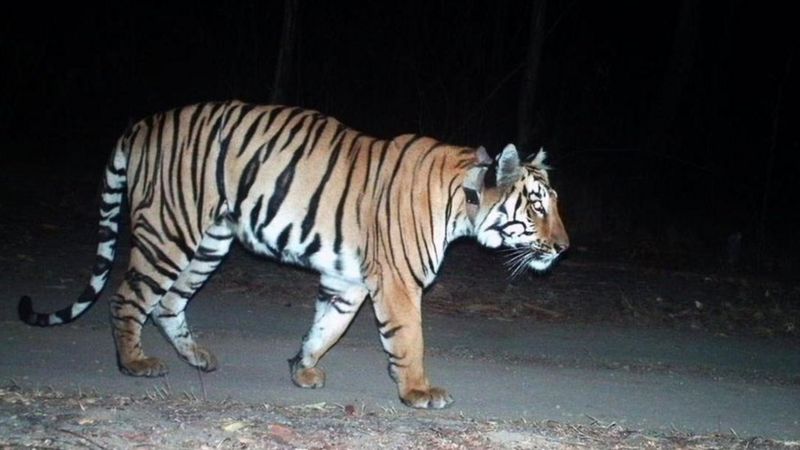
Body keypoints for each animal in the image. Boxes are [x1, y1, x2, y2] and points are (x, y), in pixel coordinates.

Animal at [18, 101, 569, 409]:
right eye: (537, 206)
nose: (564, 248)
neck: (462, 203)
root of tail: (143, 124)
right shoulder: (397, 283)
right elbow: (408, 339)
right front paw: (418, 392)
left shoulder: (349, 282)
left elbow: (327, 327)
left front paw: (301, 369)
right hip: (169, 232)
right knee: (128, 298)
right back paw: (134, 363)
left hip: (210, 242)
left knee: (169, 303)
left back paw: (197, 358)